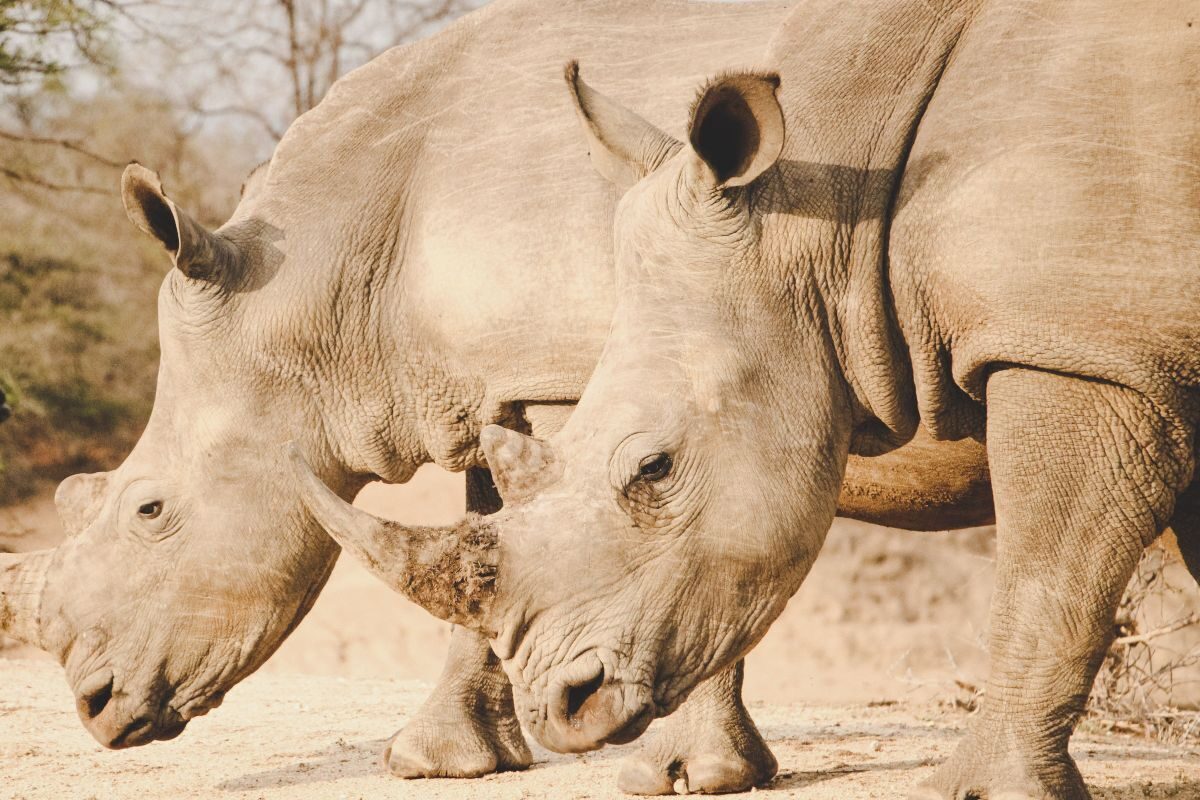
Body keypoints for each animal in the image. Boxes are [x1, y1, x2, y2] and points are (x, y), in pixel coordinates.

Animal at [293, 1, 1200, 798]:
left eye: (655, 468)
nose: (562, 708)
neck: (835, 207)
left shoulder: (1083, 346)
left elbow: (1049, 578)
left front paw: (985, 793)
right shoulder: (1147, 347)